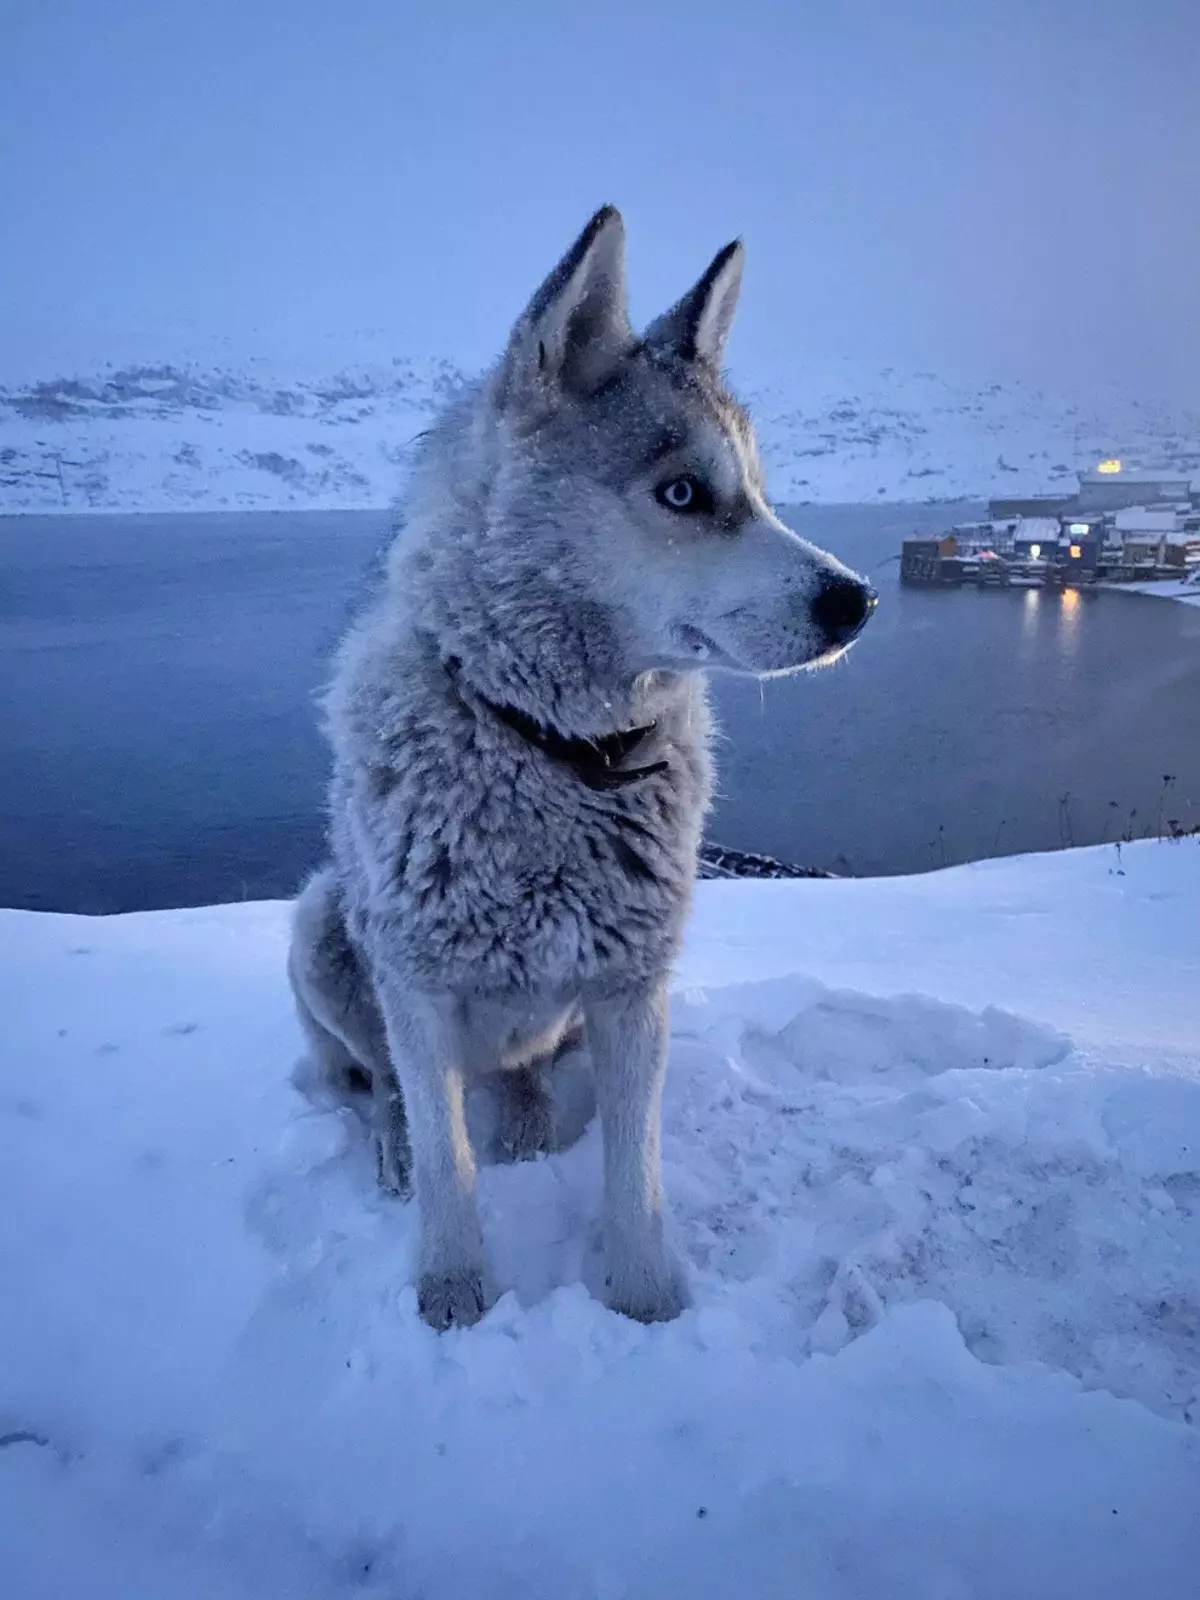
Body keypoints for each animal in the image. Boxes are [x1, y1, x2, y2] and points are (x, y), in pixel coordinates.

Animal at [291, 209, 876, 1324]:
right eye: (683, 492)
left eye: (760, 491)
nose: (858, 600)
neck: (556, 751)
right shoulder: (414, 985)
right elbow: (446, 1157)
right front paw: (453, 1289)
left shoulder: (633, 984)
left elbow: (632, 1166)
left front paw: (645, 1299)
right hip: (321, 923)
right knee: (380, 1082)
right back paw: (394, 1144)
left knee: (527, 1089)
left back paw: (525, 1117)